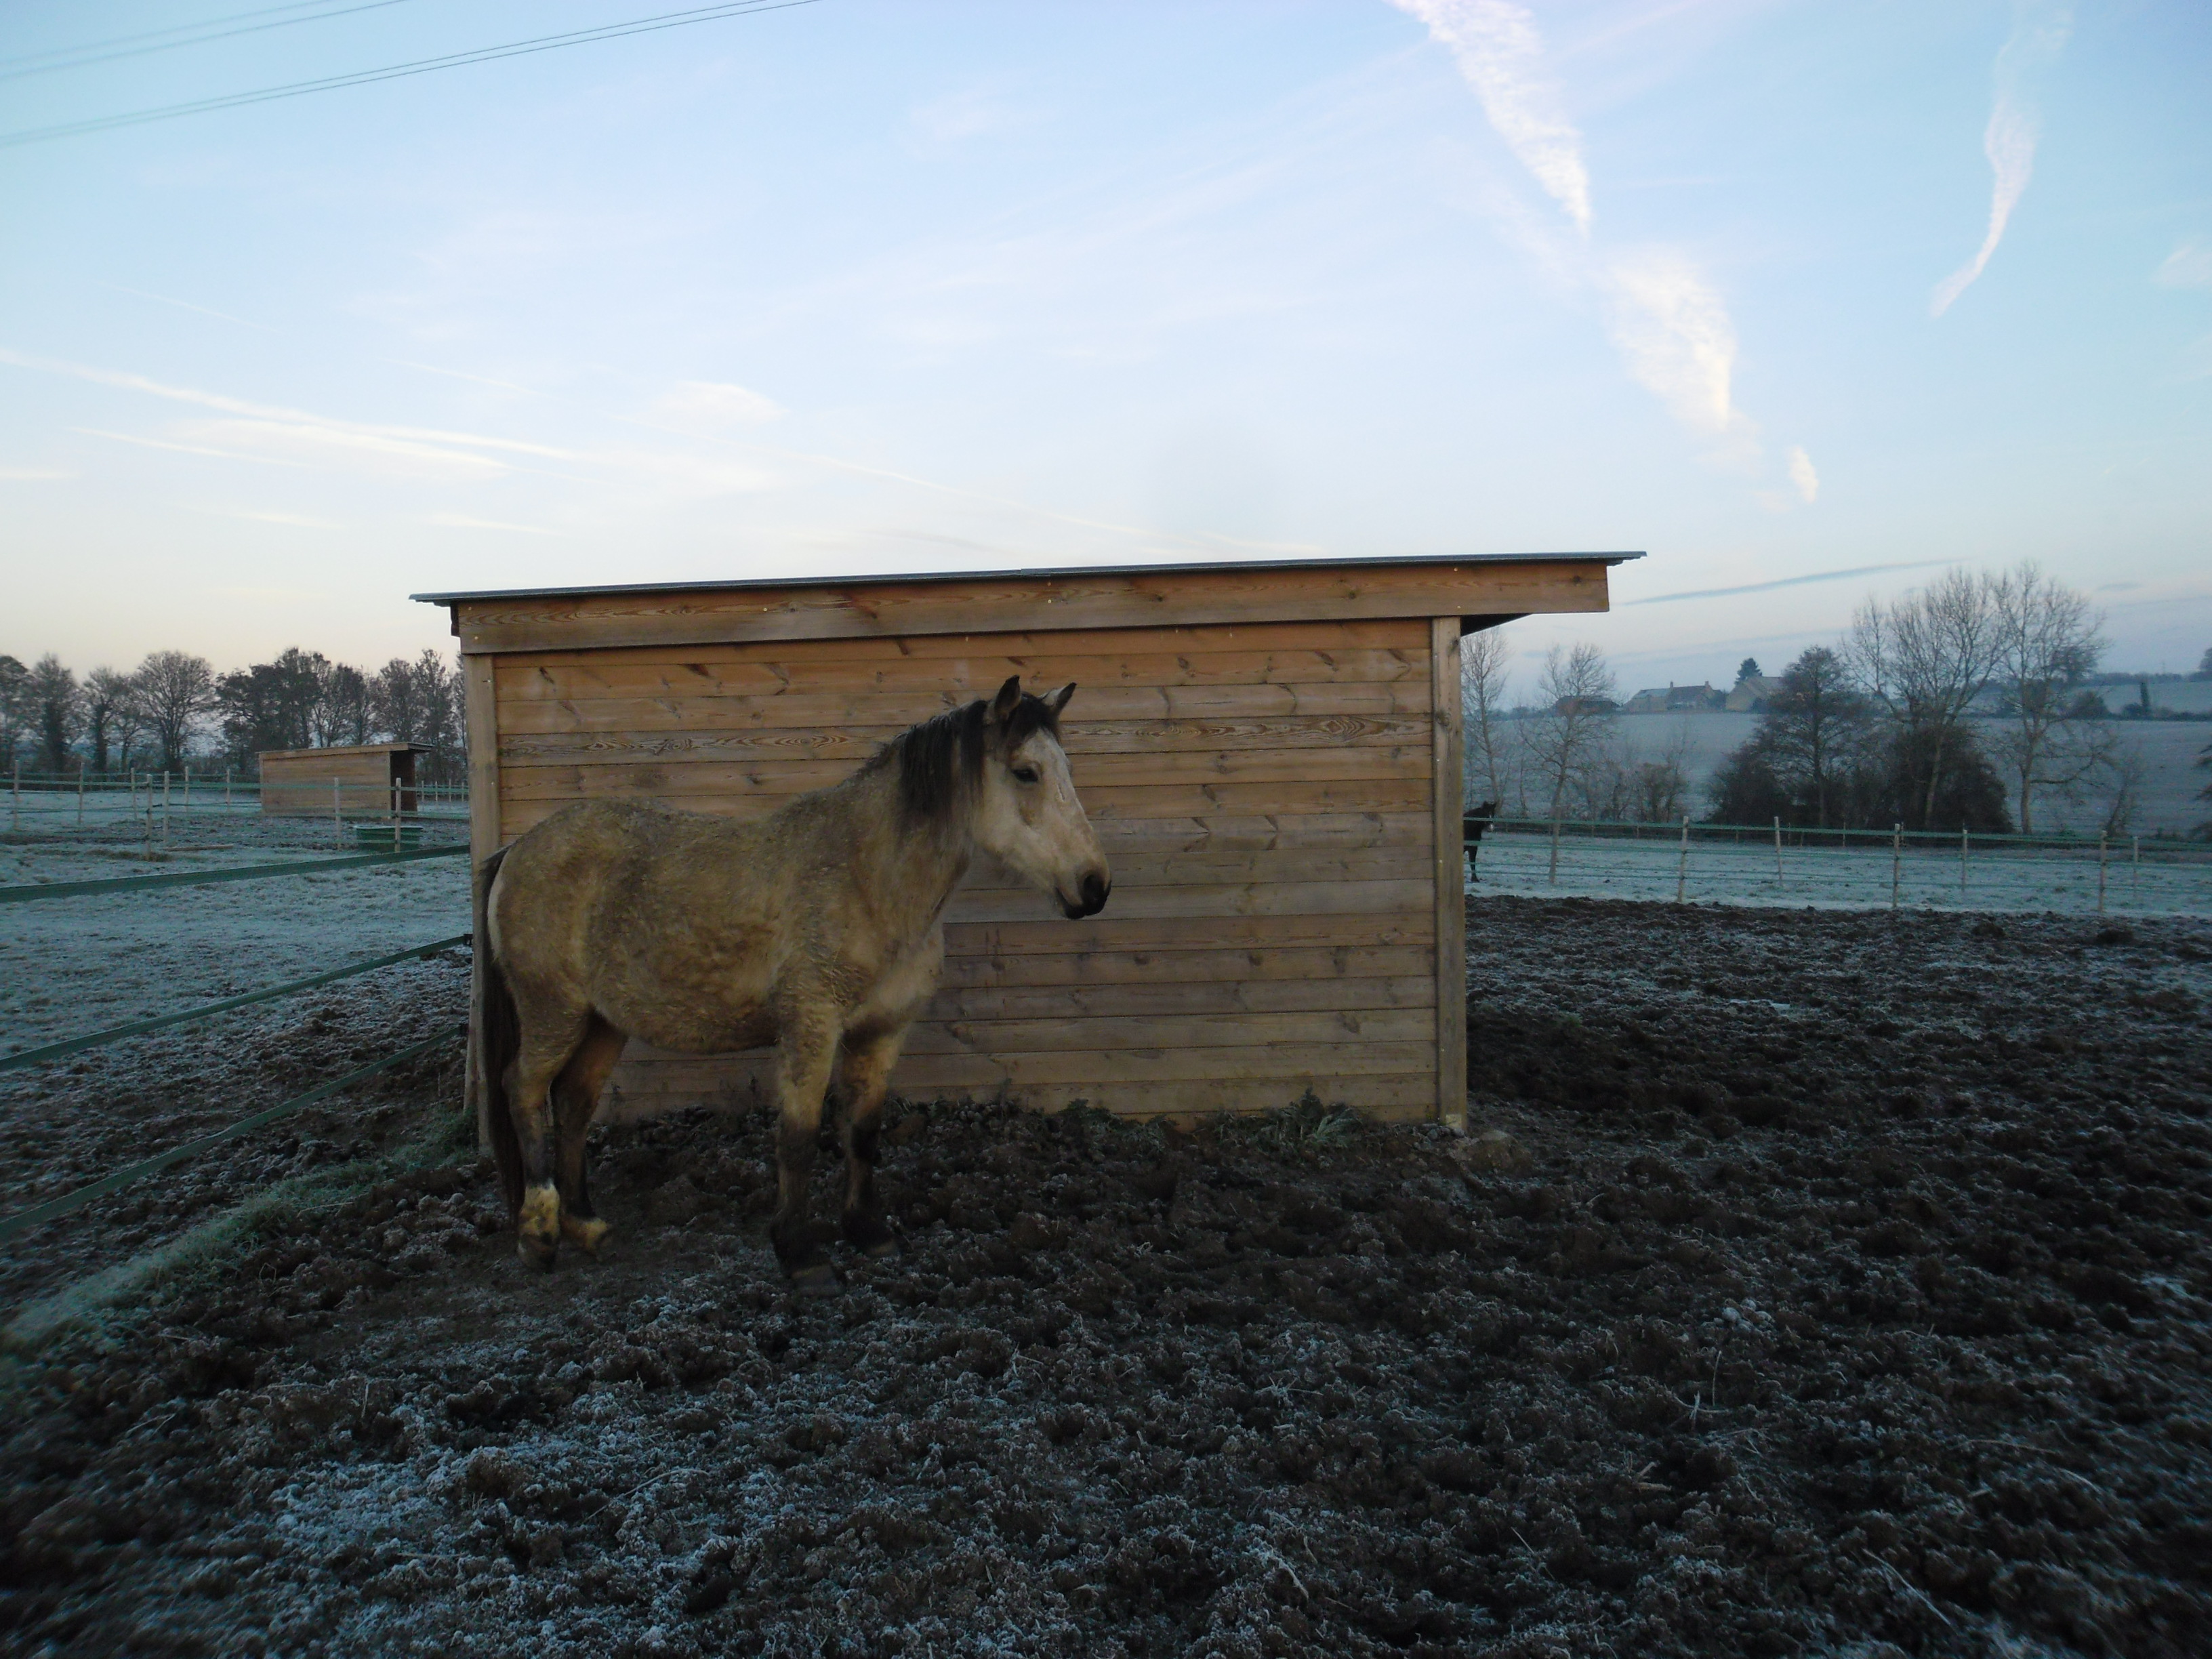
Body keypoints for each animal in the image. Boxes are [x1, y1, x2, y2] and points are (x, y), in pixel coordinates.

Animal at [473, 676, 1111, 1294]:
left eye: (1067, 769)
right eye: (1025, 772)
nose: (1095, 885)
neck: (865, 877)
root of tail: (516, 850)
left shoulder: (883, 1033)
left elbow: (863, 1133)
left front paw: (867, 1231)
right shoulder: (811, 1027)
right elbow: (799, 1139)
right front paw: (801, 1256)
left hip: (604, 1022)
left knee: (573, 1103)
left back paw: (587, 1226)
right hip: (554, 1014)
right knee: (523, 1090)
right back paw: (539, 1238)